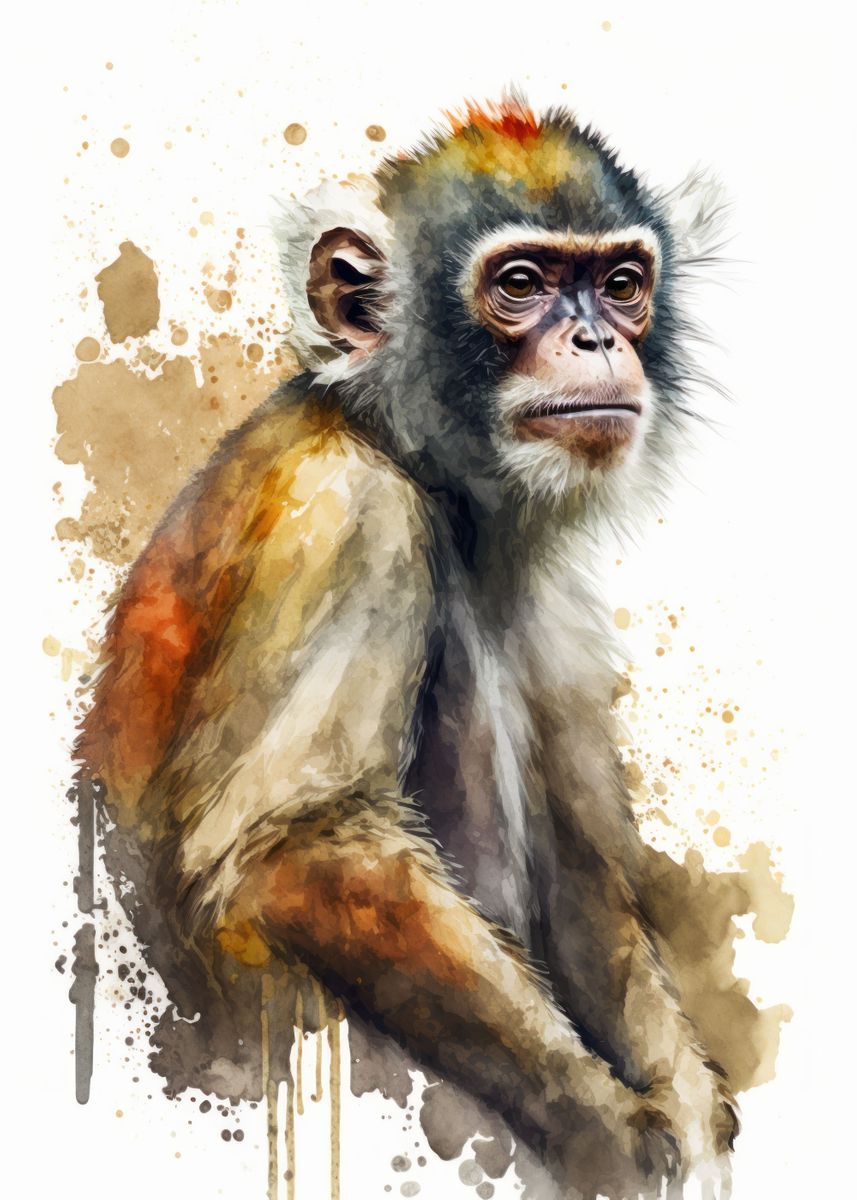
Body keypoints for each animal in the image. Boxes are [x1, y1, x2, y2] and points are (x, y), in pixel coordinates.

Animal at [75, 98, 738, 1199]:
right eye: (520, 285)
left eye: (619, 282)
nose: (595, 336)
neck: (393, 439)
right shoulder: (349, 523)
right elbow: (300, 847)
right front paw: (619, 1132)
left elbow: (581, 868)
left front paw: (685, 1107)